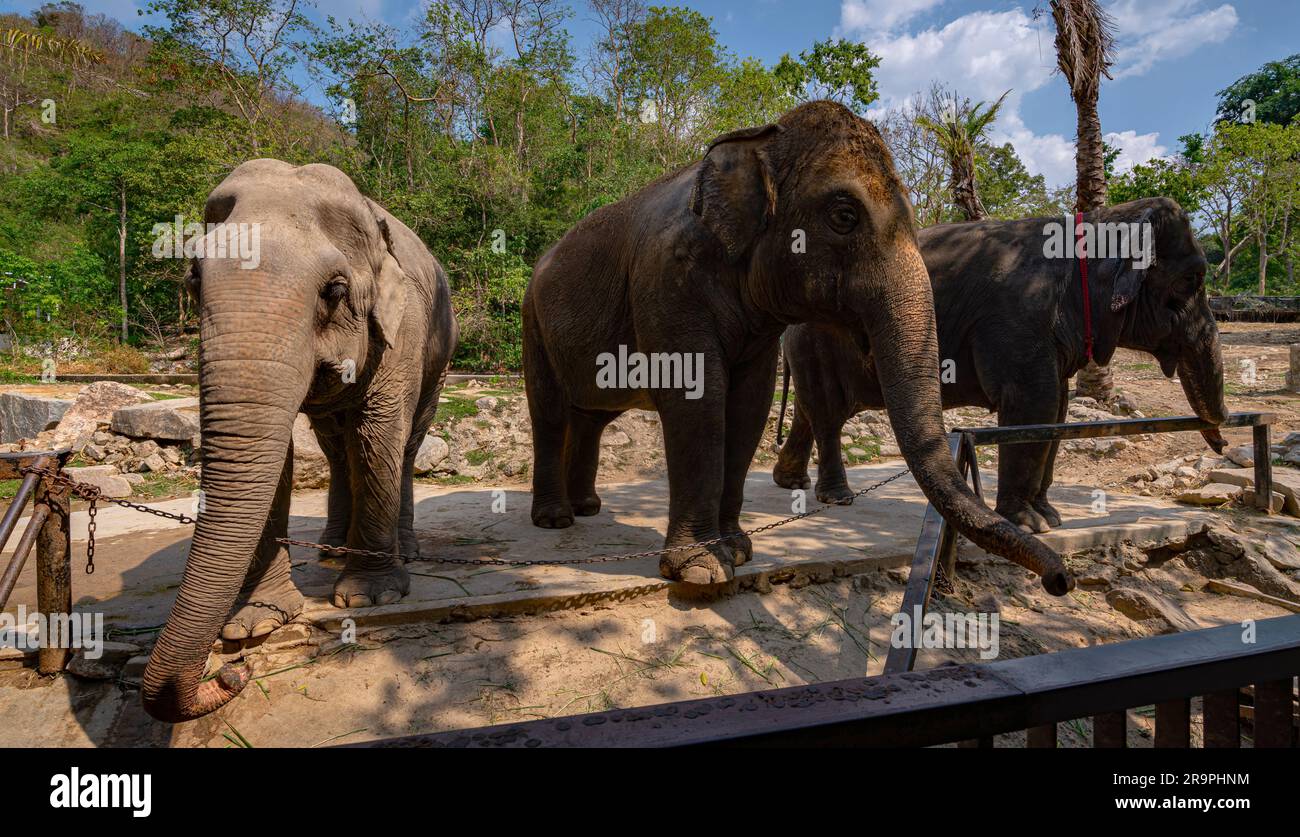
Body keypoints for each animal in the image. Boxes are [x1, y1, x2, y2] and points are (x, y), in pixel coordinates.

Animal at [142, 159, 457, 722]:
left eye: (334, 290)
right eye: (195, 279)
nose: (232, 671)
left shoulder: (404, 331)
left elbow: (379, 429)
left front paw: (368, 600)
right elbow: (278, 454)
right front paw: (256, 623)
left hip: (439, 353)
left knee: (404, 442)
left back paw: (405, 551)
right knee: (335, 446)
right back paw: (330, 550)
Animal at [523, 100, 1072, 595]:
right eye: (845, 215)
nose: (1060, 580)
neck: (758, 139)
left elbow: (748, 405)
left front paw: (738, 550)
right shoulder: (667, 278)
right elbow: (699, 402)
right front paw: (701, 570)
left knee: (592, 417)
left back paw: (587, 509)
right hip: (533, 321)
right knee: (550, 413)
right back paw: (555, 521)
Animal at [773, 197, 1227, 532]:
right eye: (1190, 281)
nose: (1223, 442)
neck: (1097, 224)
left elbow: (1057, 411)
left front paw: (1051, 520)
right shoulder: (1017, 320)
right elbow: (1033, 405)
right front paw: (1028, 525)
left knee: (810, 412)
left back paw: (791, 482)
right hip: (817, 341)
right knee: (828, 415)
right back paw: (837, 496)